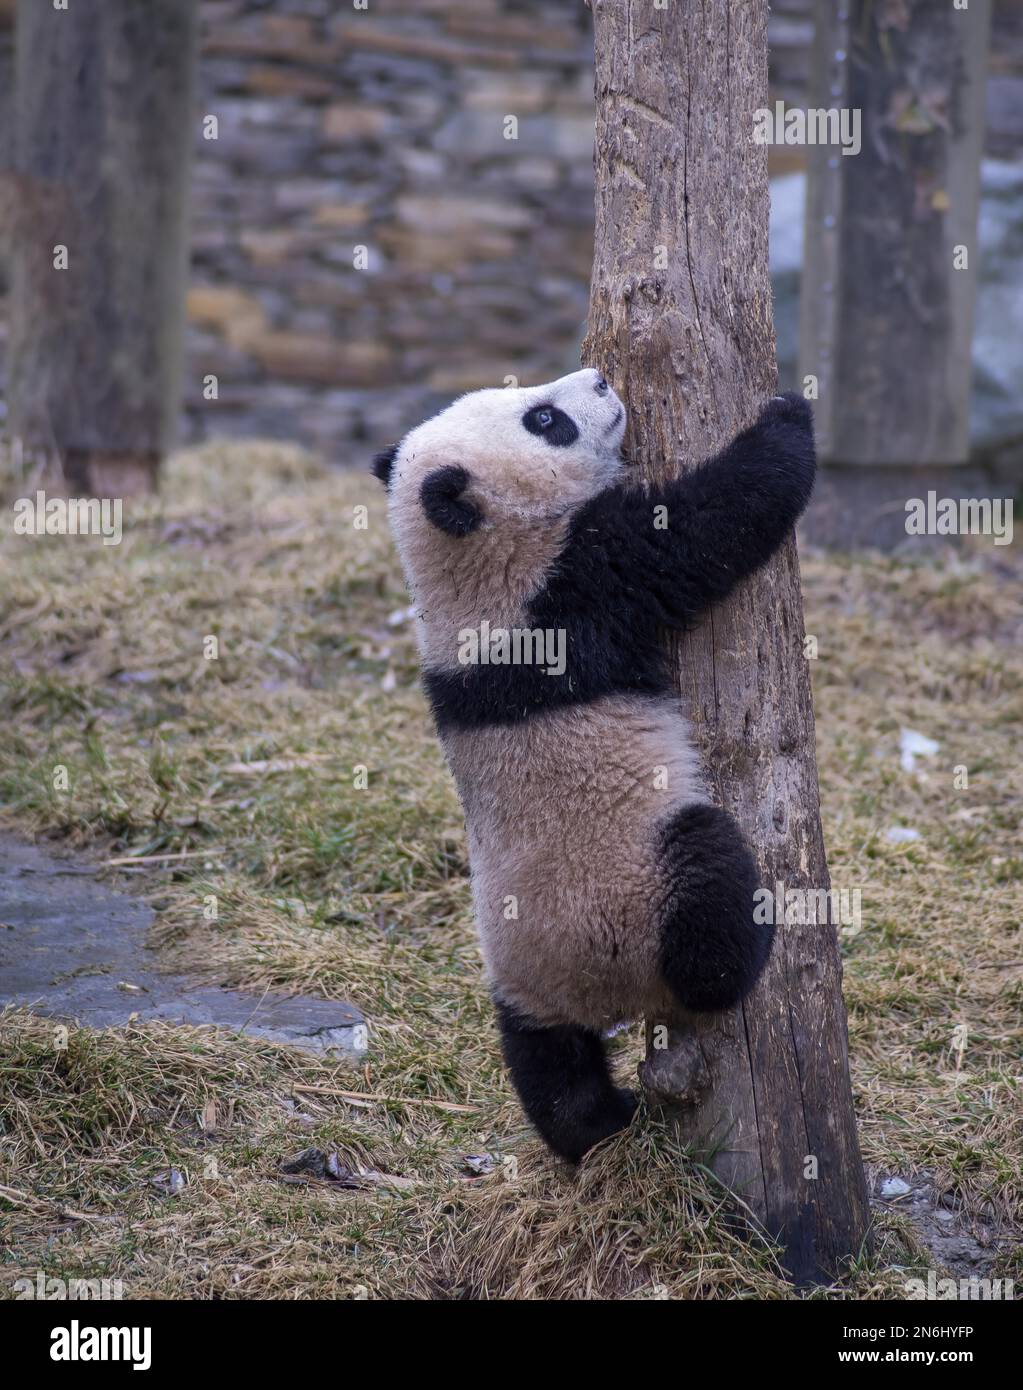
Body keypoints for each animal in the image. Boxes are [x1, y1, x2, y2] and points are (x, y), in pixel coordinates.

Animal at [372, 368, 816, 1163]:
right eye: (545, 419)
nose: (601, 380)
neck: (465, 572)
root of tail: (598, 992)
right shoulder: (574, 583)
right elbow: (706, 527)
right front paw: (785, 418)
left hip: (517, 975)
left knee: (547, 1068)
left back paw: (598, 1129)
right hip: (638, 886)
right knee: (705, 892)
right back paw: (747, 948)